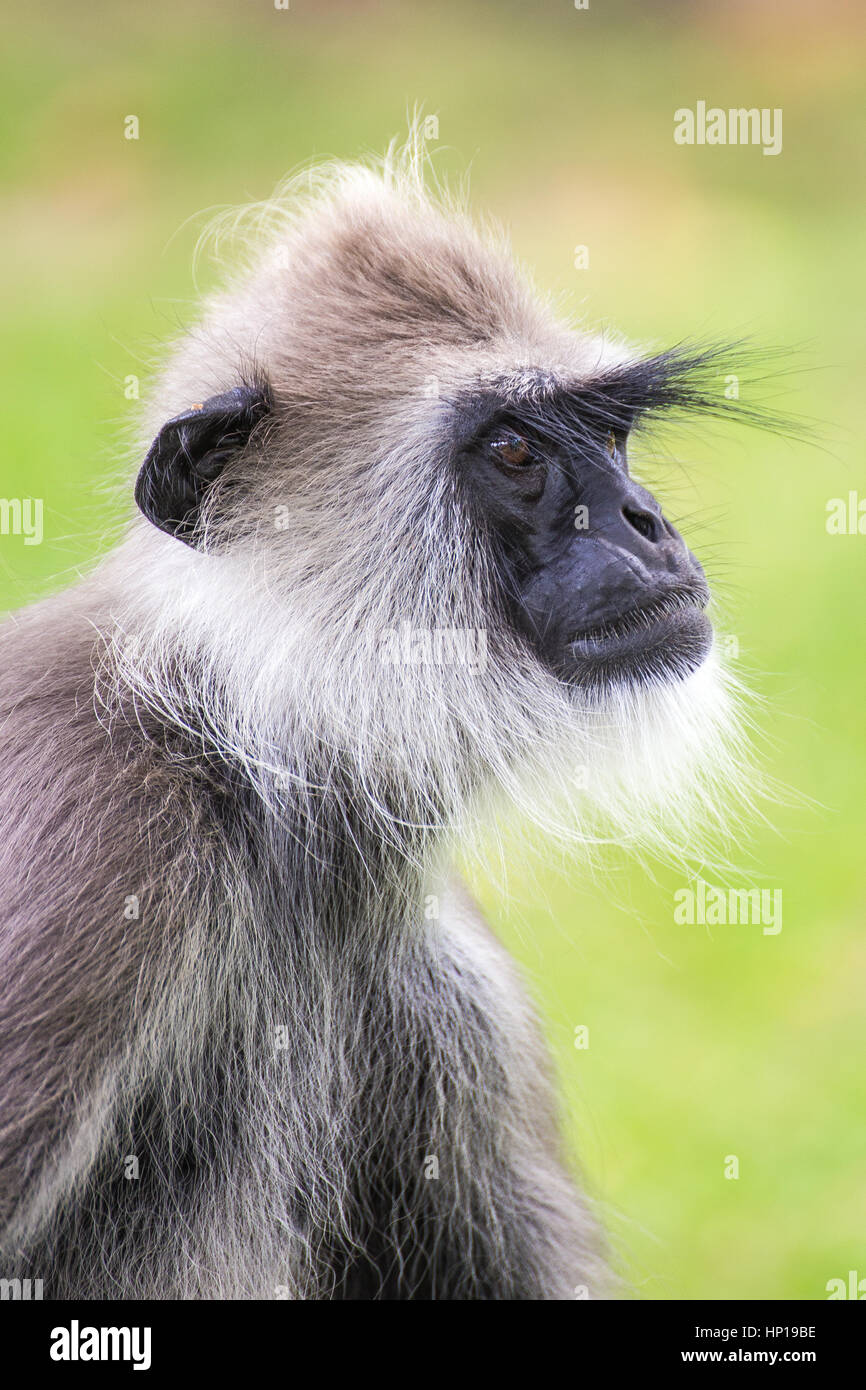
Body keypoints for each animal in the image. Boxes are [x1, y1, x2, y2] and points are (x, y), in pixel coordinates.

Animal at [0, 141, 754, 1300]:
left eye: (611, 435)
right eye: (515, 452)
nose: (646, 522)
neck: (244, 757)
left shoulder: (452, 984)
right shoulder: (101, 839)